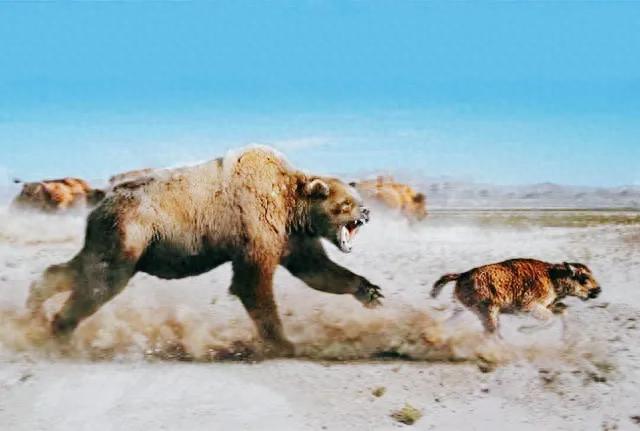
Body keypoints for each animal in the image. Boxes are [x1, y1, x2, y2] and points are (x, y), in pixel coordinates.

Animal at [27, 146, 383, 356]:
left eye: (357, 200)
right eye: (345, 204)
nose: (366, 213)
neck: (292, 205)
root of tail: (101, 202)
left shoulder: (291, 236)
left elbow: (316, 270)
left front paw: (369, 291)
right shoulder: (257, 224)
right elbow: (253, 283)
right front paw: (284, 342)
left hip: (112, 236)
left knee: (80, 269)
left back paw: (37, 303)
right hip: (131, 232)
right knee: (103, 280)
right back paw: (61, 330)